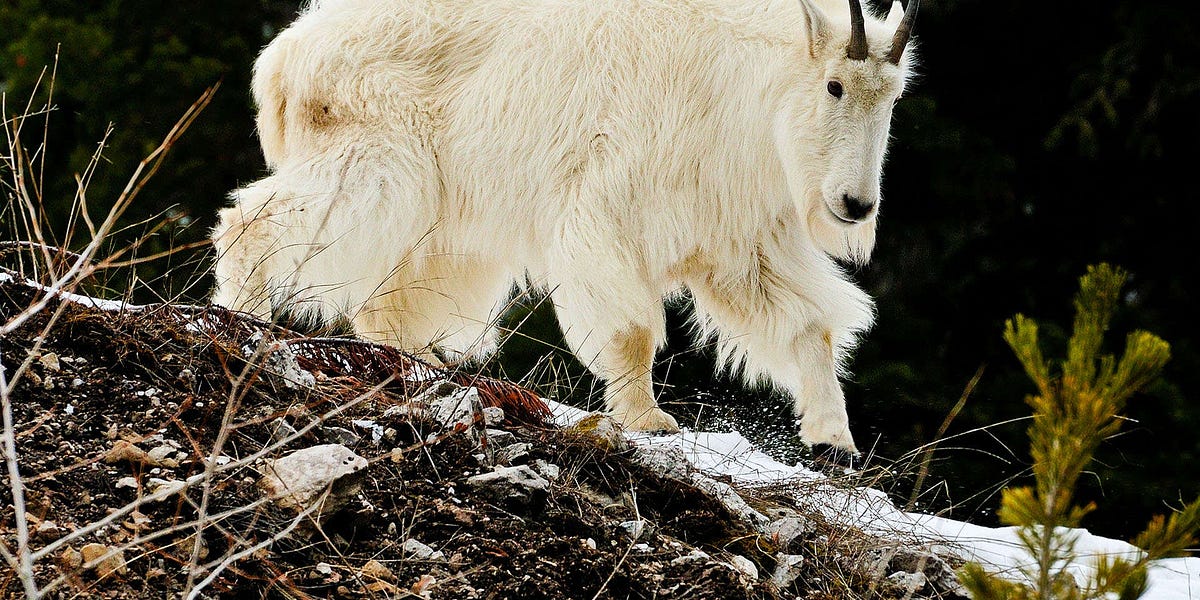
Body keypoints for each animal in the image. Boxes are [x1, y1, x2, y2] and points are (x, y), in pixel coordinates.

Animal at [212, 0, 919, 458]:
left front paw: (834, 438)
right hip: (378, 164)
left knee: (388, 304)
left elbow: (807, 325)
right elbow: (630, 327)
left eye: (890, 96)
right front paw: (648, 419)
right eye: (834, 85)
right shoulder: (609, 208)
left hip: (441, 222)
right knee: (257, 221)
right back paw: (245, 322)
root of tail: (283, 58)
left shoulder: (735, 239)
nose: (856, 205)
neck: (743, 80)